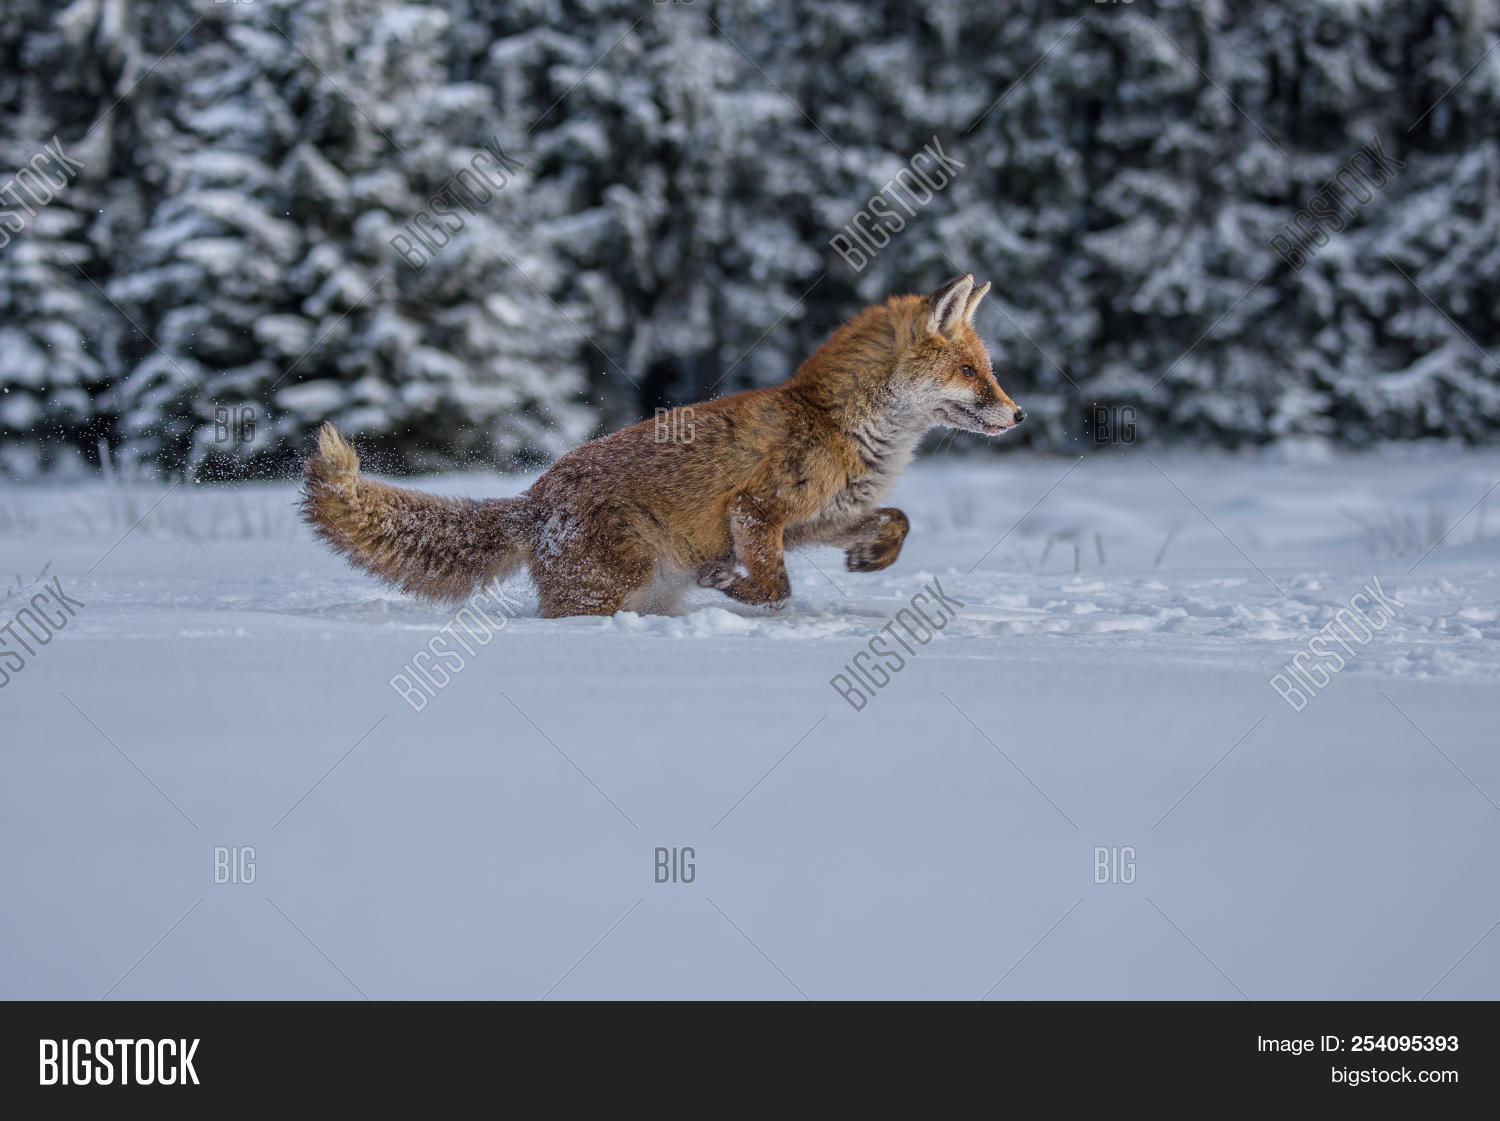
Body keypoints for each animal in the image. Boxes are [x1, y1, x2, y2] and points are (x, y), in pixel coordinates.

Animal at [301, 273, 1024, 618]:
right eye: (971, 371)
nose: (1018, 414)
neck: (839, 424)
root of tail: (533, 497)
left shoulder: (817, 520)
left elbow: (897, 520)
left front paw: (871, 560)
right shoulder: (757, 511)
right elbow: (776, 587)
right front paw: (730, 585)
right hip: (607, 590)